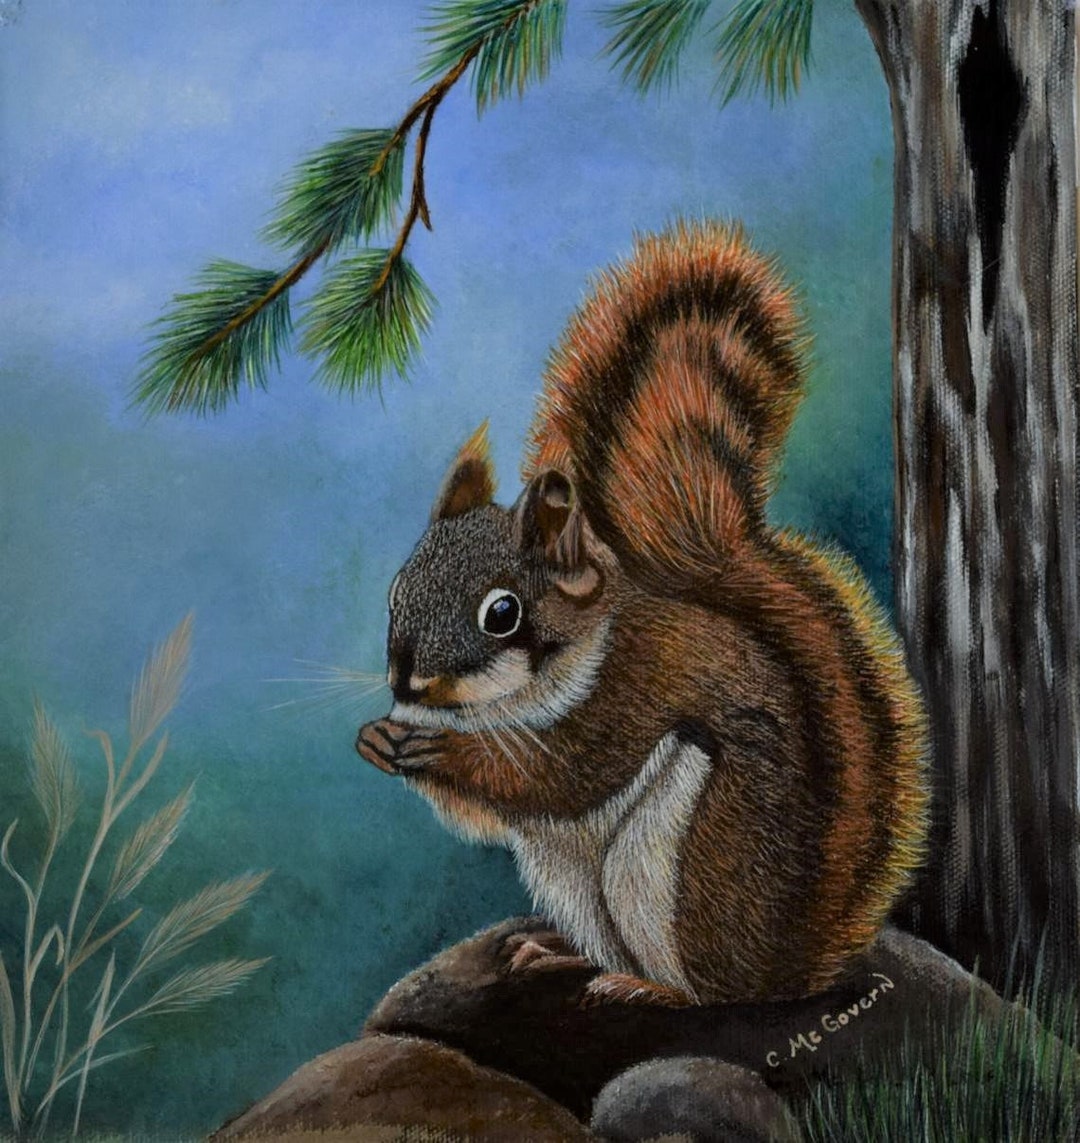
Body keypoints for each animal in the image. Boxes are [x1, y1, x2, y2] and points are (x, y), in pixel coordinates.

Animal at [357, 219, 929, 1008]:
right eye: (396, 590)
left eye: (502, 613)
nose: (406, 683)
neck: (512, 702)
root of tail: (788, 968)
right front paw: (379, 740)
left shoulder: (635, 688)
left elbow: (558, 776)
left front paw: (441, 752)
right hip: (572, 882)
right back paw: (563, 956)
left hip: (686, 857)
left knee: (712, 989)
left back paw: (649, 989)